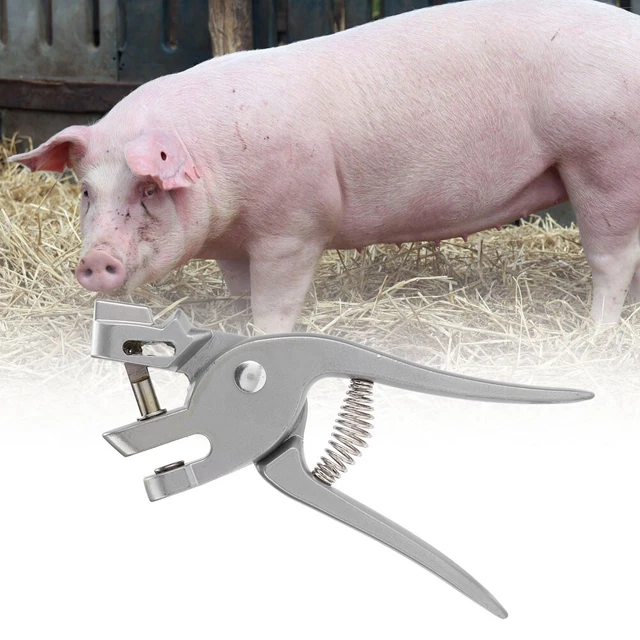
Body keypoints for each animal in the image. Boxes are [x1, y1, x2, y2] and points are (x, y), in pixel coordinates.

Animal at [10, 0, 640, 332]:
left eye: (147, 189)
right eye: (87, 193)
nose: (95, 261)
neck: (217, 164)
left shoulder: (293, 228)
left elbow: (277, 301)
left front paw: (263, 336)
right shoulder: (237, 243)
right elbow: (240, 291)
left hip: (601, 159)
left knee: (612, 258)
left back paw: (593, 332)